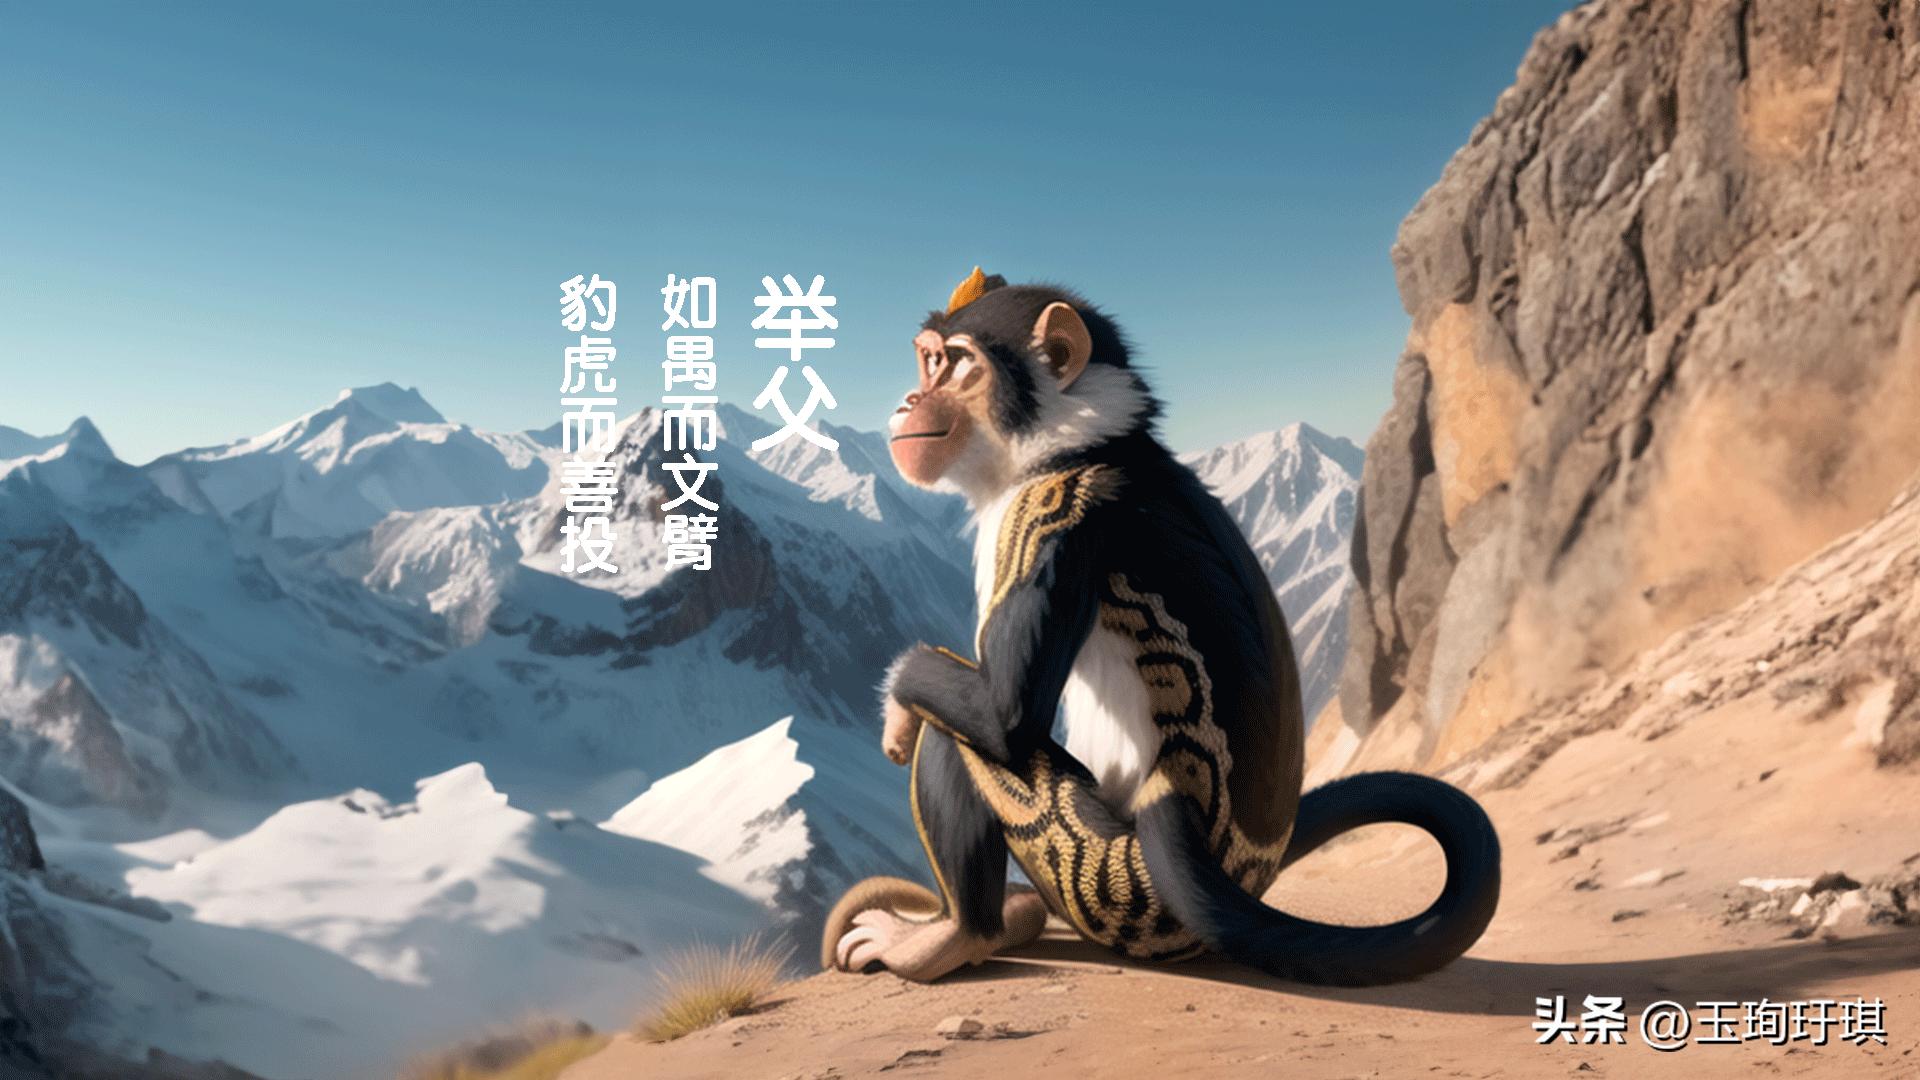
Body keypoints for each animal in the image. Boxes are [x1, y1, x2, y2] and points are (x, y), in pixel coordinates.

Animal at [823, 268, 1501, 986]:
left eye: (954, 365)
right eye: (926, 361)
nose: (909, 399)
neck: (1082, 443)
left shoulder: (1051, 510)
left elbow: (1003, 715)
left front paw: (898, 699)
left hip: (1109, 879)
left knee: (966, 741)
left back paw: (959, 935)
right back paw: (1007, 921)